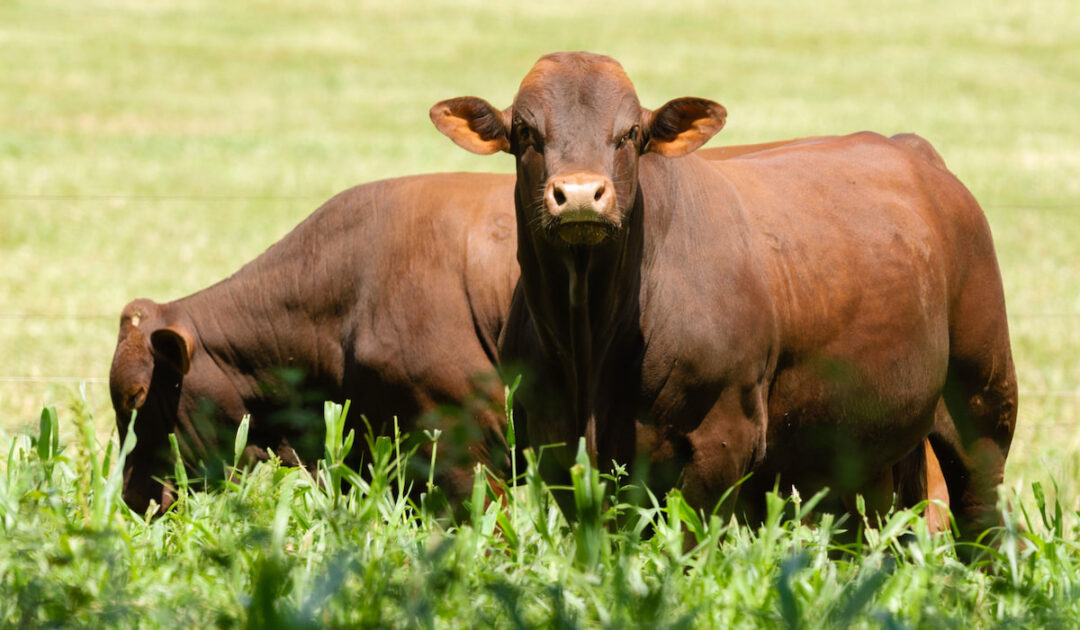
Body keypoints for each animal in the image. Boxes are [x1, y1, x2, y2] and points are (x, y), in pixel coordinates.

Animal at [430, 51, 1015, 539]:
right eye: (526, 131)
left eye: (631, 133)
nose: (578, 195)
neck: (593, 343)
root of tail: (909, 148)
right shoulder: (557, 446)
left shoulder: (722, 442)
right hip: (861, 445)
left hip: (983, 399)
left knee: (979, 511)